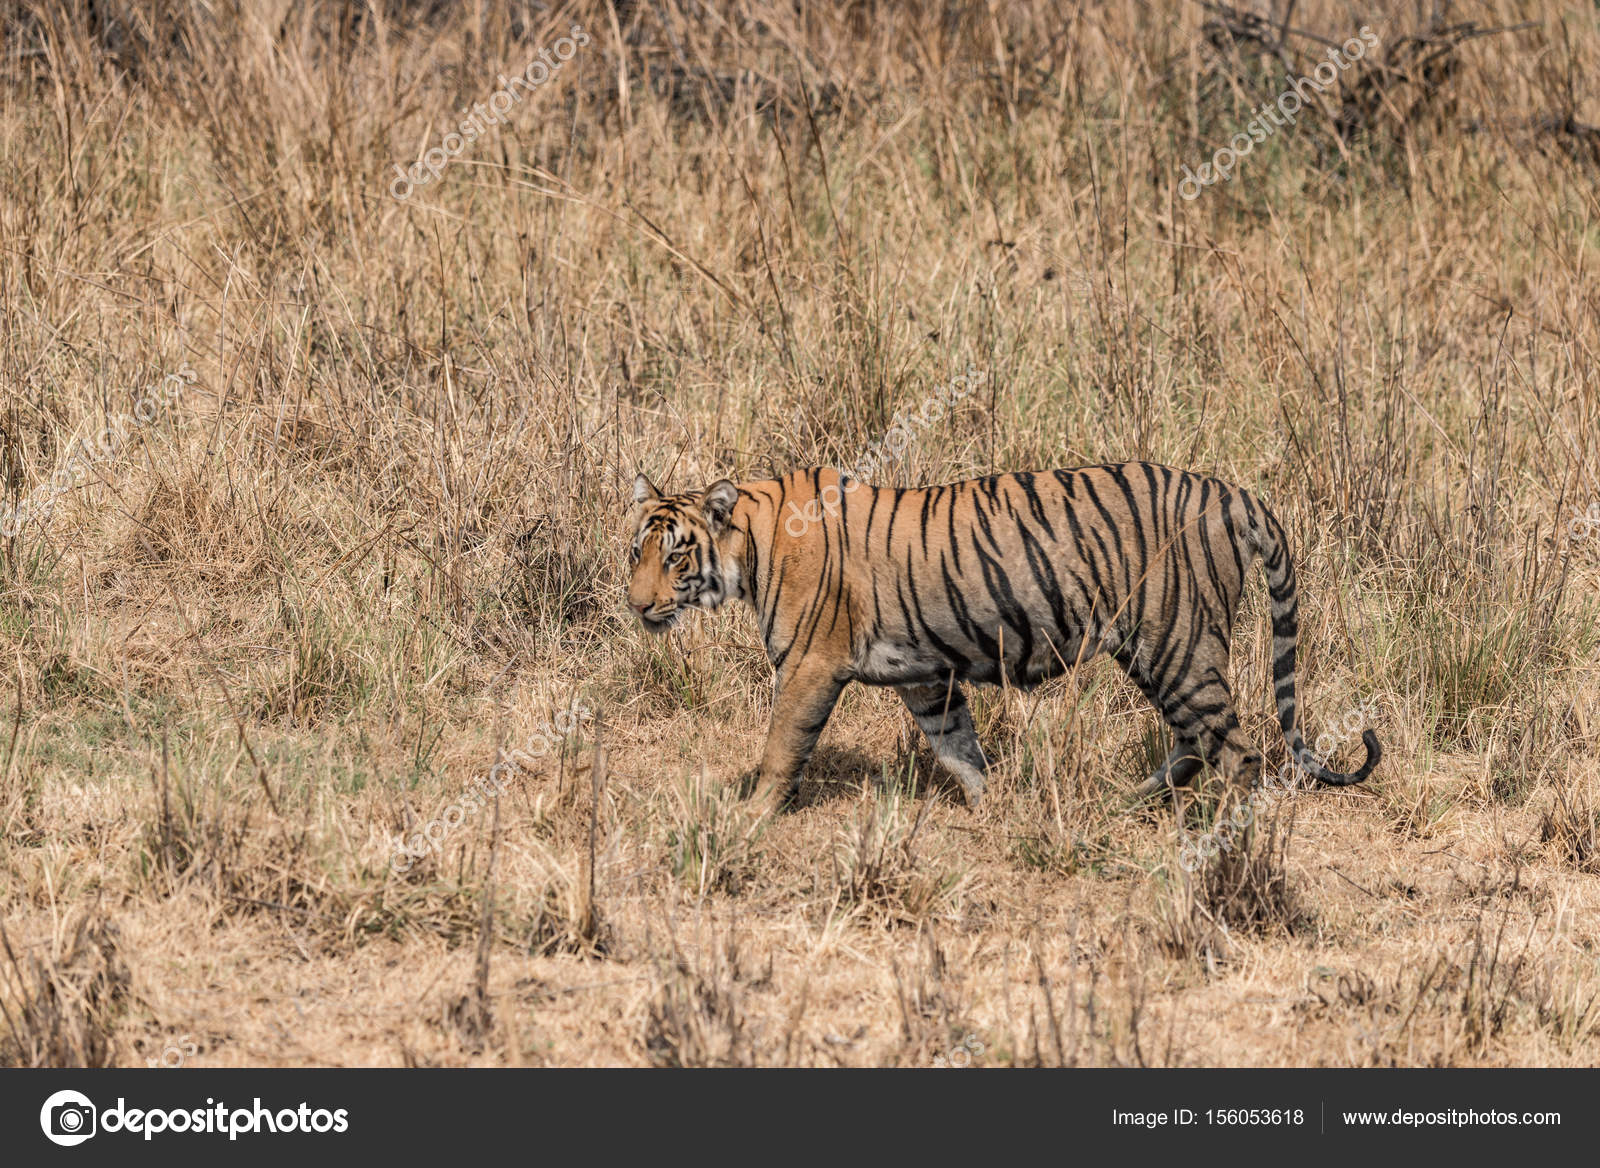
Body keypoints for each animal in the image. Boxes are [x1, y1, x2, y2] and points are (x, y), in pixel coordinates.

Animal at [626, 464, 1379, 813]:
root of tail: (1228, 491)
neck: (749, 550)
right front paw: (994, 808)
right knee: (1195, 740)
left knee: (1238, 751)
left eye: (676, 556)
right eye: (636, 551)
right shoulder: (925, 677)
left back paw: (1233, 843)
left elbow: (782, 748)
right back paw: (1127, 802)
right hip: (1154, 649)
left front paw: (752, 814)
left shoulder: (811, 665)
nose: (637, 606)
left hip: (1179, 641)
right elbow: (958, 748)